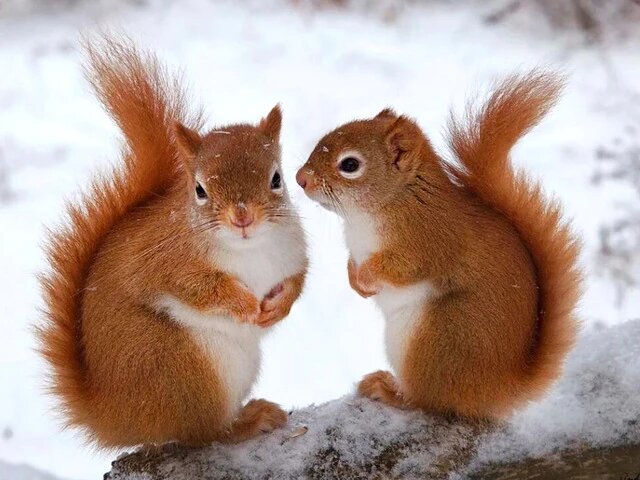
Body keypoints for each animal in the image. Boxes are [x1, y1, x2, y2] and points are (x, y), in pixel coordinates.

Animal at [36, 38, 308, 448]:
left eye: (277, 179)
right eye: (200, 190)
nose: (242, 216)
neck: (248, 248)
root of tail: (119, 418)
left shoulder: (292, 252)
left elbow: (297, 281)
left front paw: (278, 306)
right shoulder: (163, 260)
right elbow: (197, 288)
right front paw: (244, 303)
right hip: (182, 367)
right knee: (202, 432)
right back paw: (246, 423)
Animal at [296, 72, 581, 420]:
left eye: (349, 165)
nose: (300, 178)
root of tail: (497, 390)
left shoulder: (427, 242)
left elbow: (402, 269)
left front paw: (366, 277)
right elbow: (353, 263)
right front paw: (355, 281)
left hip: (436, 339)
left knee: (427, 401)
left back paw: (391, 392)